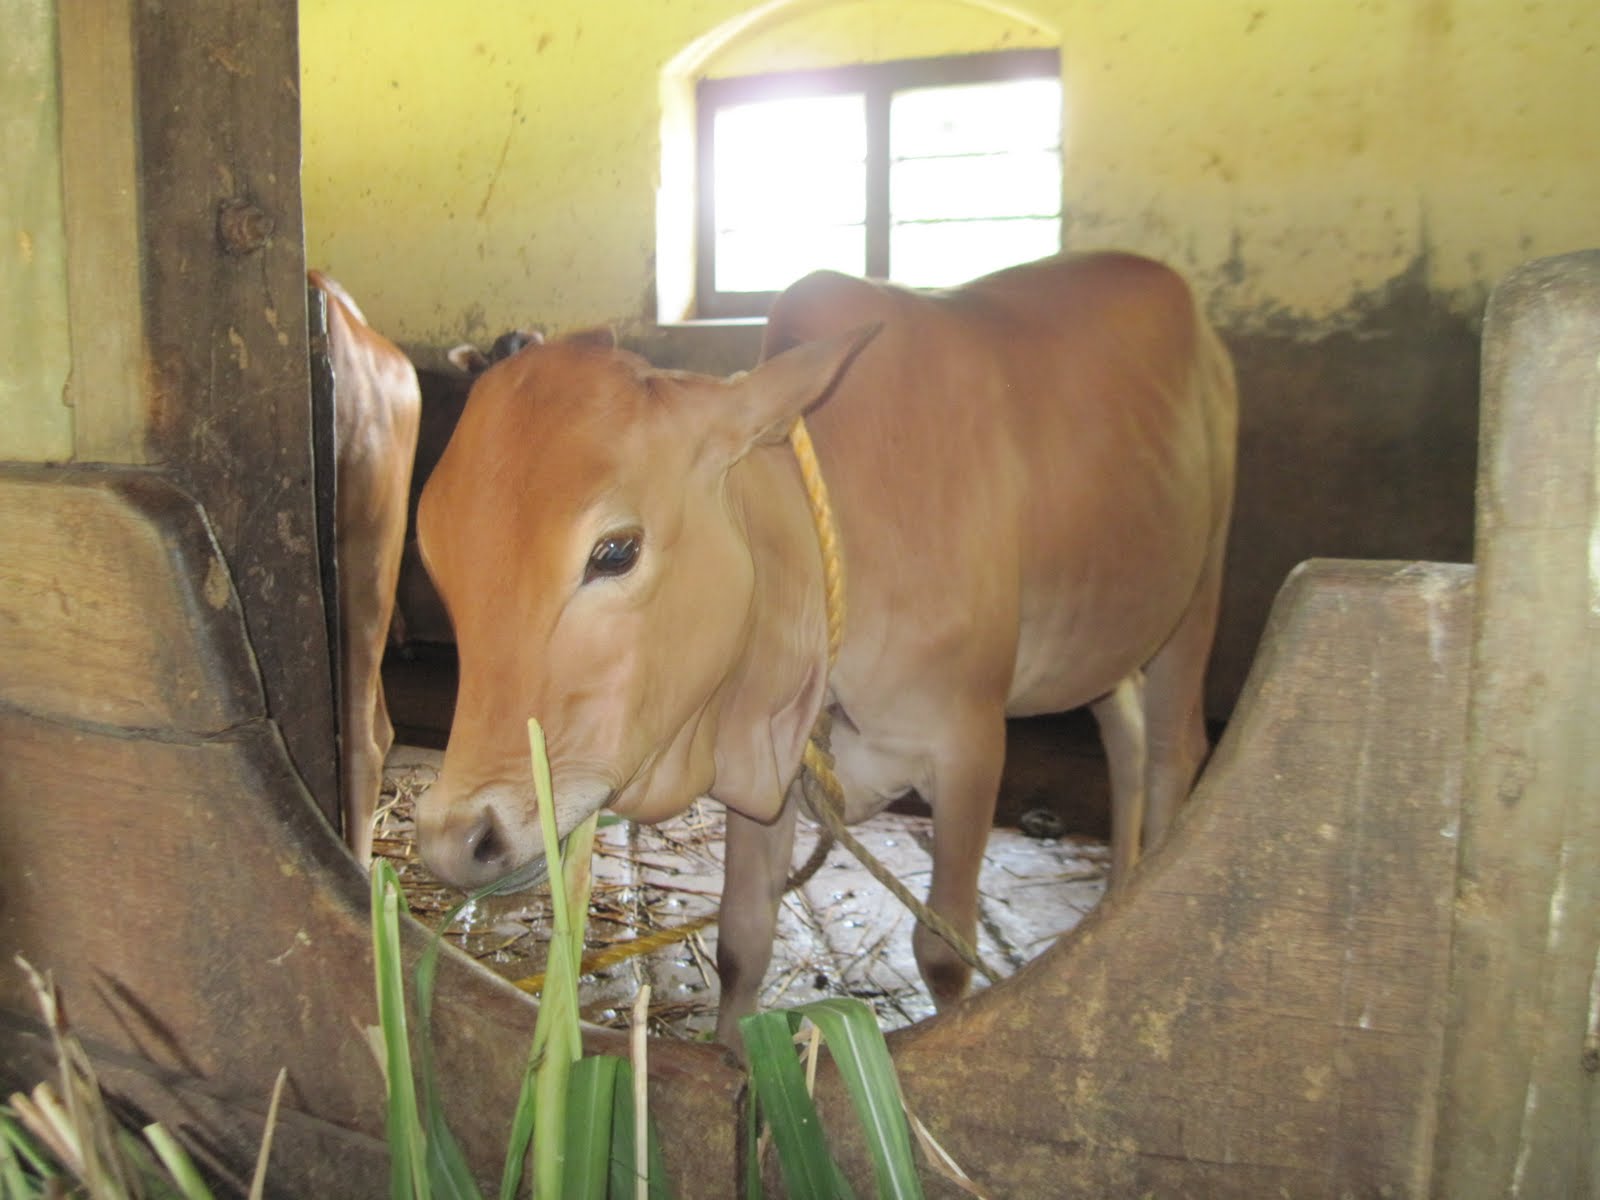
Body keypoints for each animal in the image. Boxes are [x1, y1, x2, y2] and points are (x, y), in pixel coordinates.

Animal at [414, 252, 1237, 1045]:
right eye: (434, 560)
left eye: (615, 552)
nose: (458, 839)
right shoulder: (767, 763)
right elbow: (742, 940)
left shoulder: (970, 746)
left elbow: (943, 952)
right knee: (1125, 731)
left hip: (1197, 592)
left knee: (1172, 751)